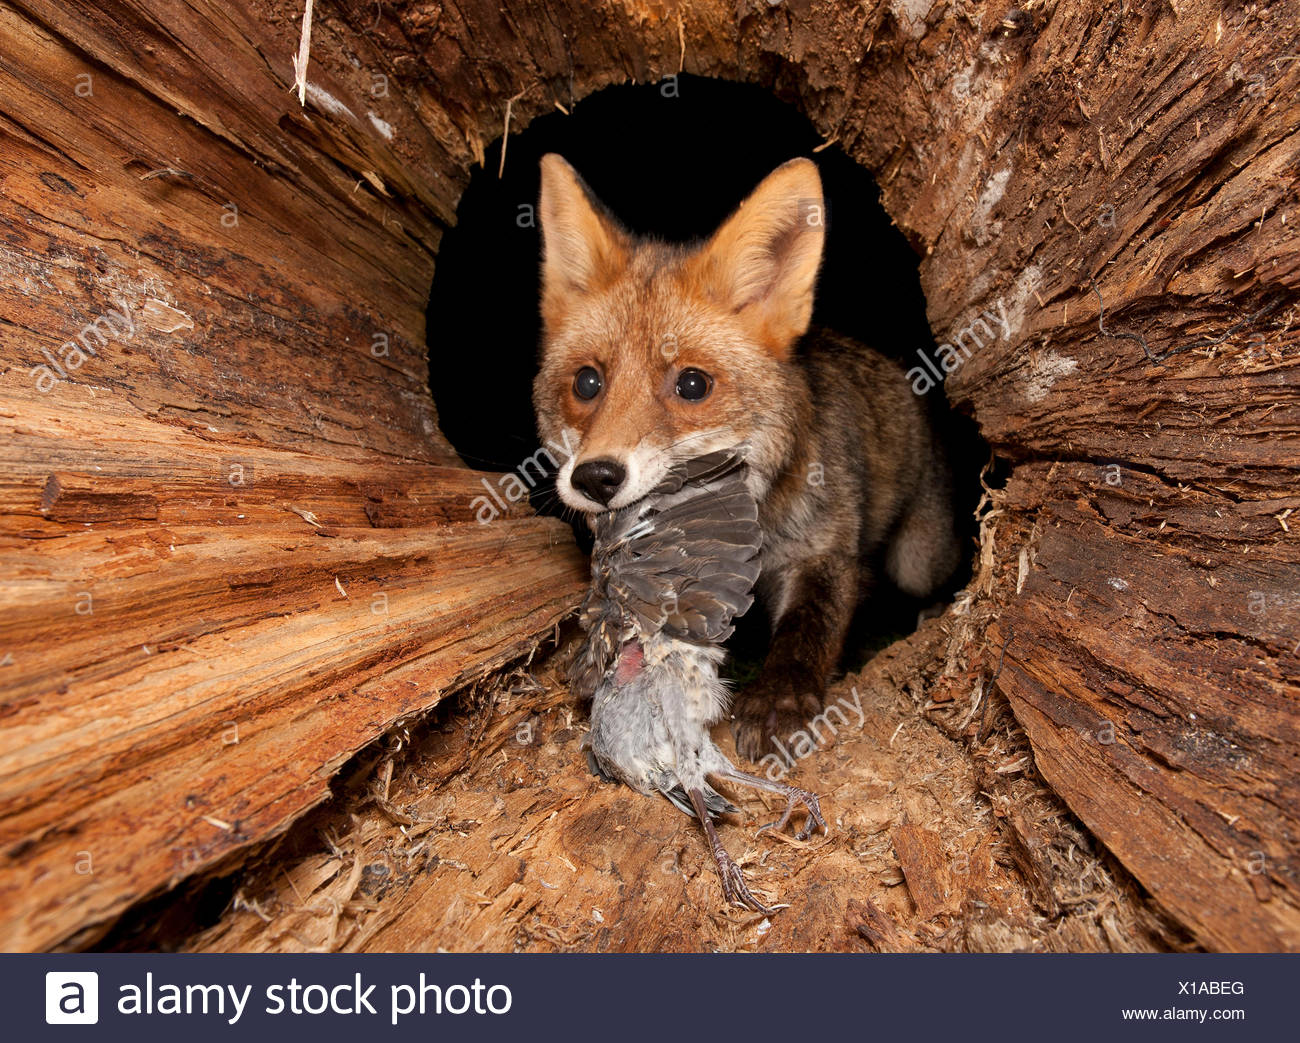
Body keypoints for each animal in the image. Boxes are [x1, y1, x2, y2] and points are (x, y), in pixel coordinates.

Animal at [532, 152, 961, 761]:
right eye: (587, 383)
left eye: (692, 384)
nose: (596, 477)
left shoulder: (823, 552)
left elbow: (807, 630)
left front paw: (779, 698)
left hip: (918, 560)